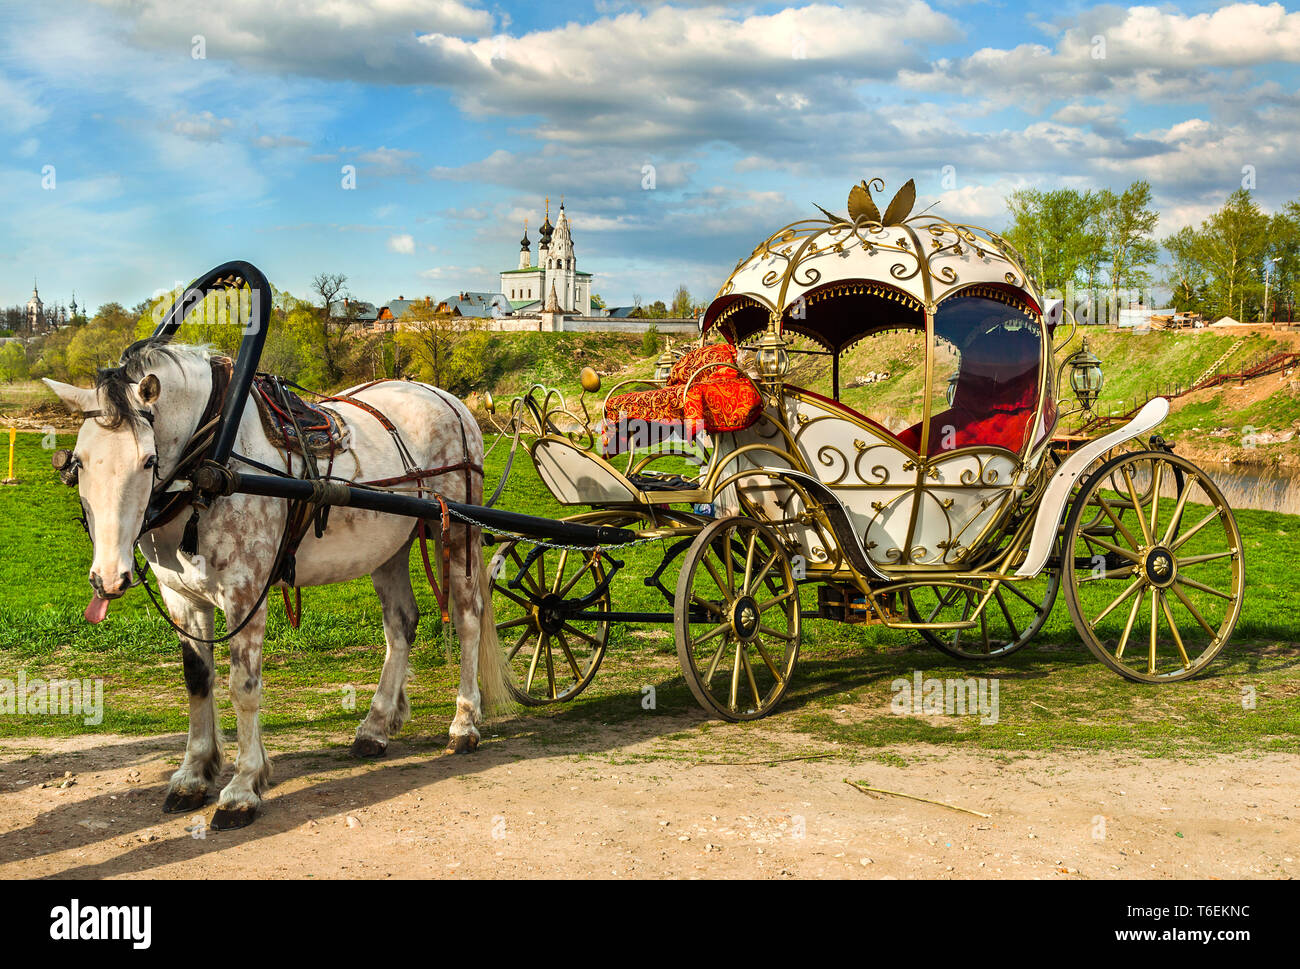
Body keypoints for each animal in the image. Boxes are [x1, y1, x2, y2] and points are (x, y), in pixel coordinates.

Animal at [43, 339, 512, 829]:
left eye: (147, 459)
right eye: (78, 462)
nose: (108, 578)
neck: (208, 465)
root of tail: (446, 397)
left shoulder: (245, 593)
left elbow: (242, 687)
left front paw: (242, 787)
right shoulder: (182, 597)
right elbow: (197, 681)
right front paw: (194, 773)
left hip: (459, 532)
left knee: (467, 619)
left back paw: (464, 722)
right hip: (388, 547)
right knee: (401, 624)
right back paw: (375, 726)